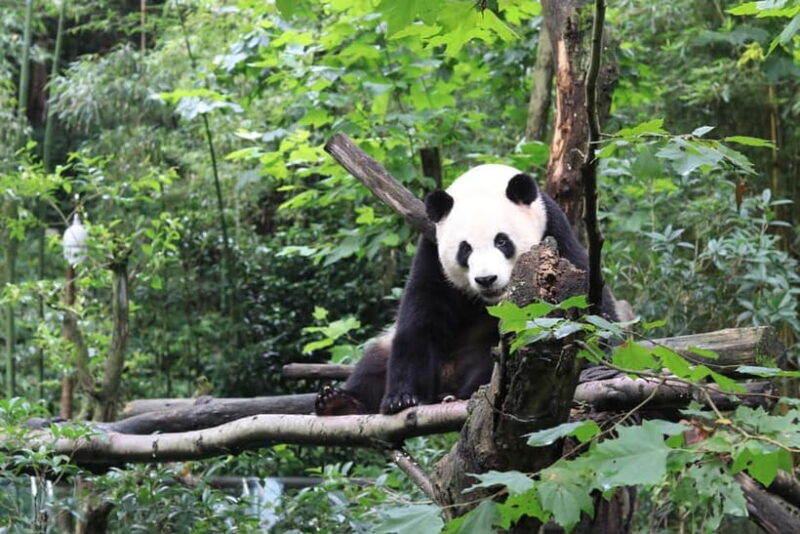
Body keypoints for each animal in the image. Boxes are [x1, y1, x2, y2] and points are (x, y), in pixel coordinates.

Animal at [315, 164, 618, 416]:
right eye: (465, 249)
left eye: (502, 241)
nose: (487, 279)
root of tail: (448, 380)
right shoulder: (431, 251)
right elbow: (420, 316)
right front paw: (402, 398)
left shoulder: (555, 234)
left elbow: (591, 304)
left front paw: (600, 366)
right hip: (391, 350)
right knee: (374, 363)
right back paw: (338, 402)